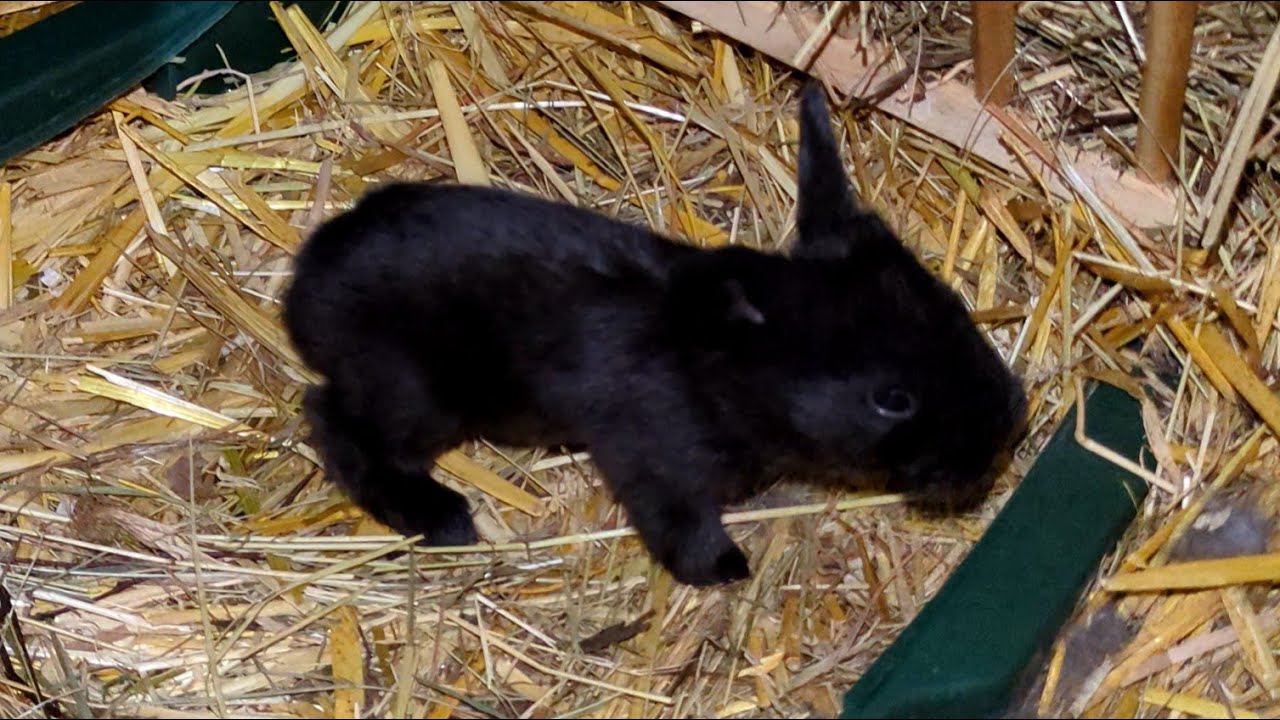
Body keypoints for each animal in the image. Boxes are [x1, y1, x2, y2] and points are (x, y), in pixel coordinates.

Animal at [281, 82, 1028, 587]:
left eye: (955, 308)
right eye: (891, 400)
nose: (1008, 430)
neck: (722, 371)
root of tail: (305, 289)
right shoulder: (655, 462)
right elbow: (680, 521)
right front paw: (725, 569)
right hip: (415, 395)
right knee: (334, 423)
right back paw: (443, 518)